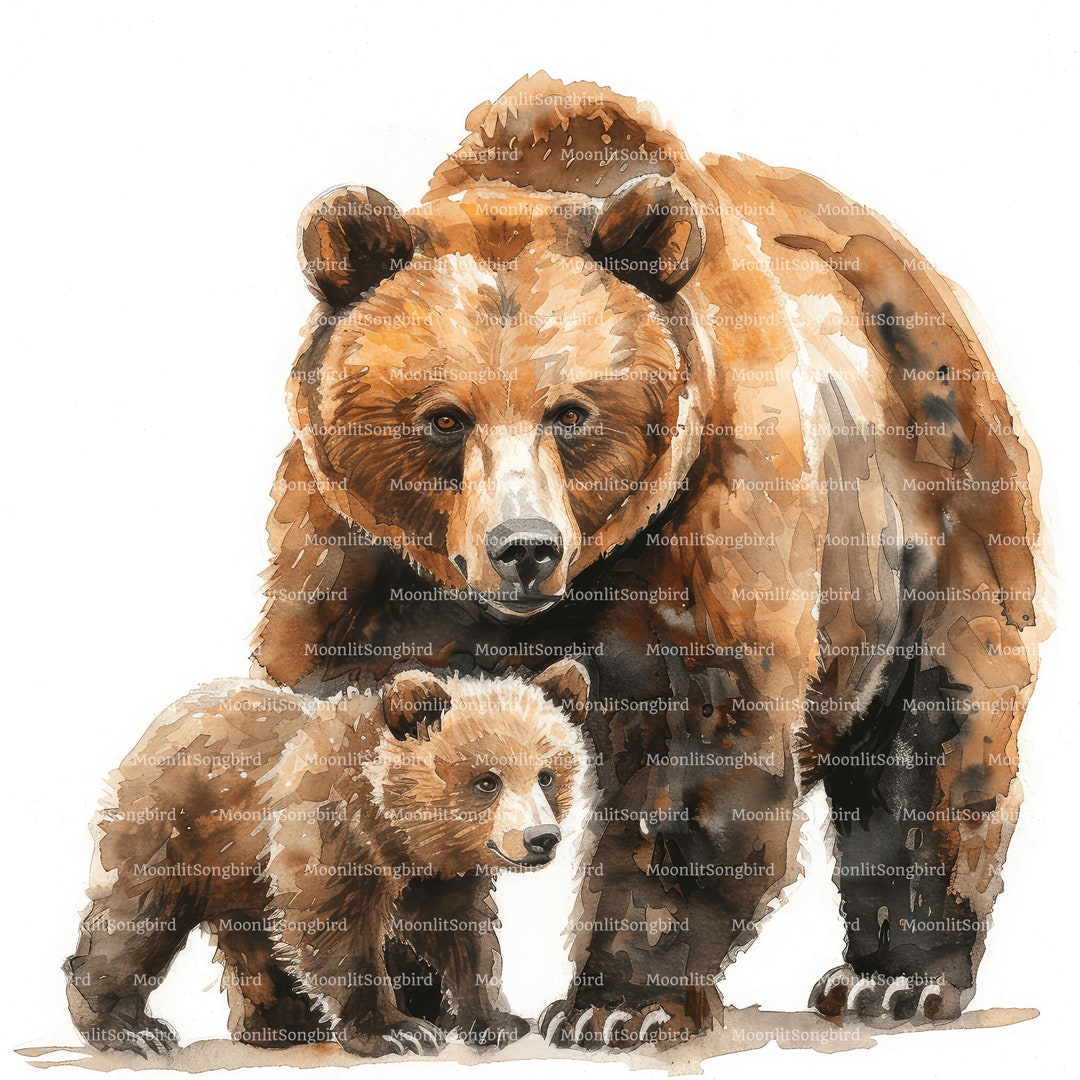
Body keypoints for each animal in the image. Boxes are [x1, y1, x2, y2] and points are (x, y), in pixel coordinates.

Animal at [64, 659, 594, 1057]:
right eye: (487, 780)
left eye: (547, 775)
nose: (541, 837)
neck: (398, 830)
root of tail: (161, 722)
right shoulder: (330, 826)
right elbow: (334, 927)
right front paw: (397, 1030)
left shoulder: (441, 871)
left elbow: (464, 932)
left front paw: (496, 1019)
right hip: (176, 828)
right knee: (137, 918)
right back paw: (128, 1027)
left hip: (243, 871)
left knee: (252, 935)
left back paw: (280, 1022)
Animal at [251, 72, 1046, 1047]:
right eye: (443, 417)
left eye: (571, 412)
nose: (524, 547)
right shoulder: (361, 558)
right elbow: (351, 737)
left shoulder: (707, 519)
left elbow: (695, 751)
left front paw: (615, 1002)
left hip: (934, 507)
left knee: (937, 736)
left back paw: (893, 980)